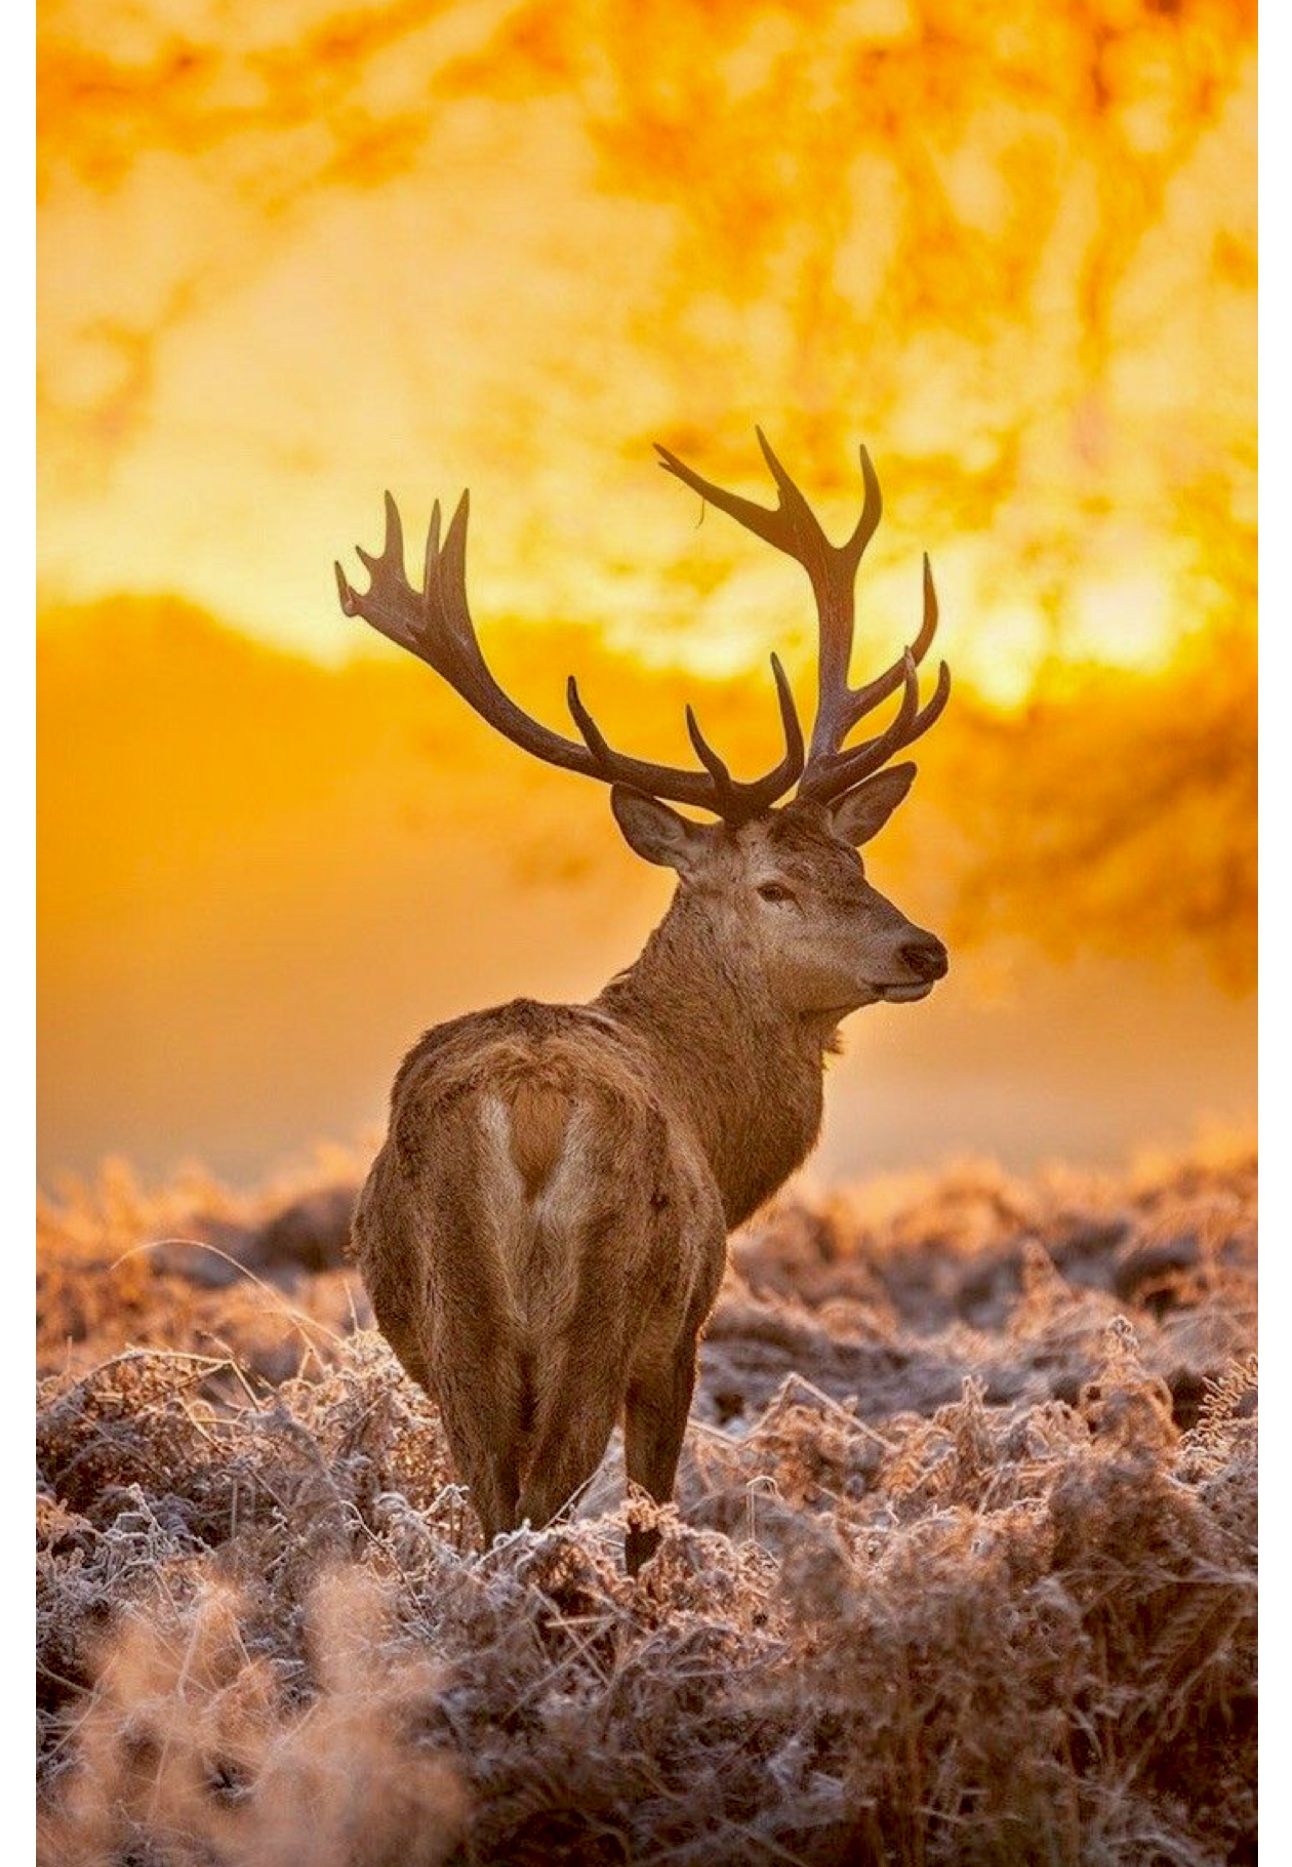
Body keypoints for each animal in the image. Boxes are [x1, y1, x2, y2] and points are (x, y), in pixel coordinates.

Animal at [337, 431, 950, 1573]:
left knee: (492, 1503)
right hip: (605, 1304)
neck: (719, 1124)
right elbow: (648, 1520)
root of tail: (529, 1106)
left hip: (455, 1322)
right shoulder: (683, 1331)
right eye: (775, 885)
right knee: (544, 1503)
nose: (922, 947)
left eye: (855, 858)